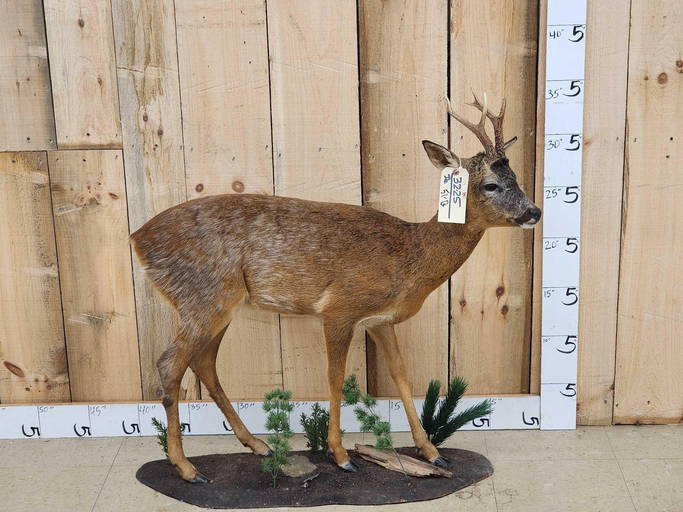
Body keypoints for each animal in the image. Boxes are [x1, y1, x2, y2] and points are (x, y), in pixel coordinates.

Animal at [130, 95, 541, 483]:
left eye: (517, 178)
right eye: (490, 184)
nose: (534, 212)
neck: (410, 257)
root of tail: (136, 239)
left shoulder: (380, 320)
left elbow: (402, 374)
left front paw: (431, 451)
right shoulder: (340, 307)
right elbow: (335, 377)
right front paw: (341, 456)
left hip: (220, 304)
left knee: (203, 362)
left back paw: (258, 445)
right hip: (202, 296)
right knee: (170, 365)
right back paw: (188, 468)